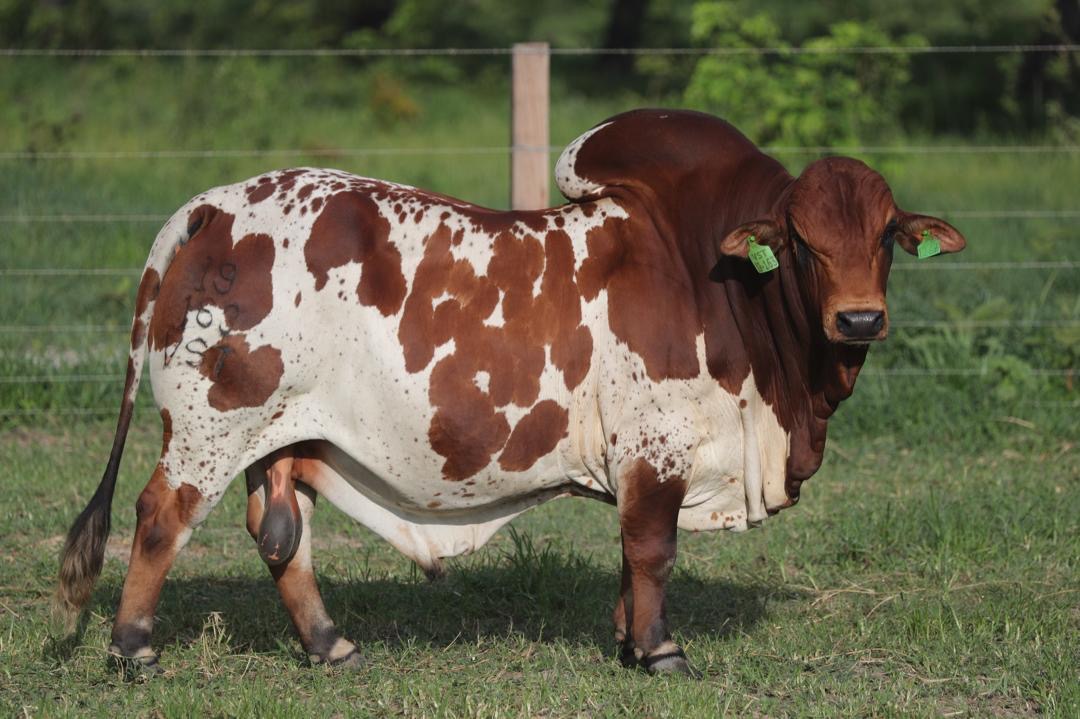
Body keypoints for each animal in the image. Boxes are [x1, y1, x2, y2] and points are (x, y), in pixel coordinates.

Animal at [56, 109, 965, 676]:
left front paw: (628, 642)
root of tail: (211, 207)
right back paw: (133, 647)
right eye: (803, 243)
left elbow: (631, 556)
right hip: (209, 426)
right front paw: (660, 651)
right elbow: (653, 550)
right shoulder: (657, 448)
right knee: (160, 517)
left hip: (278, 432)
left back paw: (329, 645)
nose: (860, 318)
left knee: (280, 534)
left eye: (887, 235)